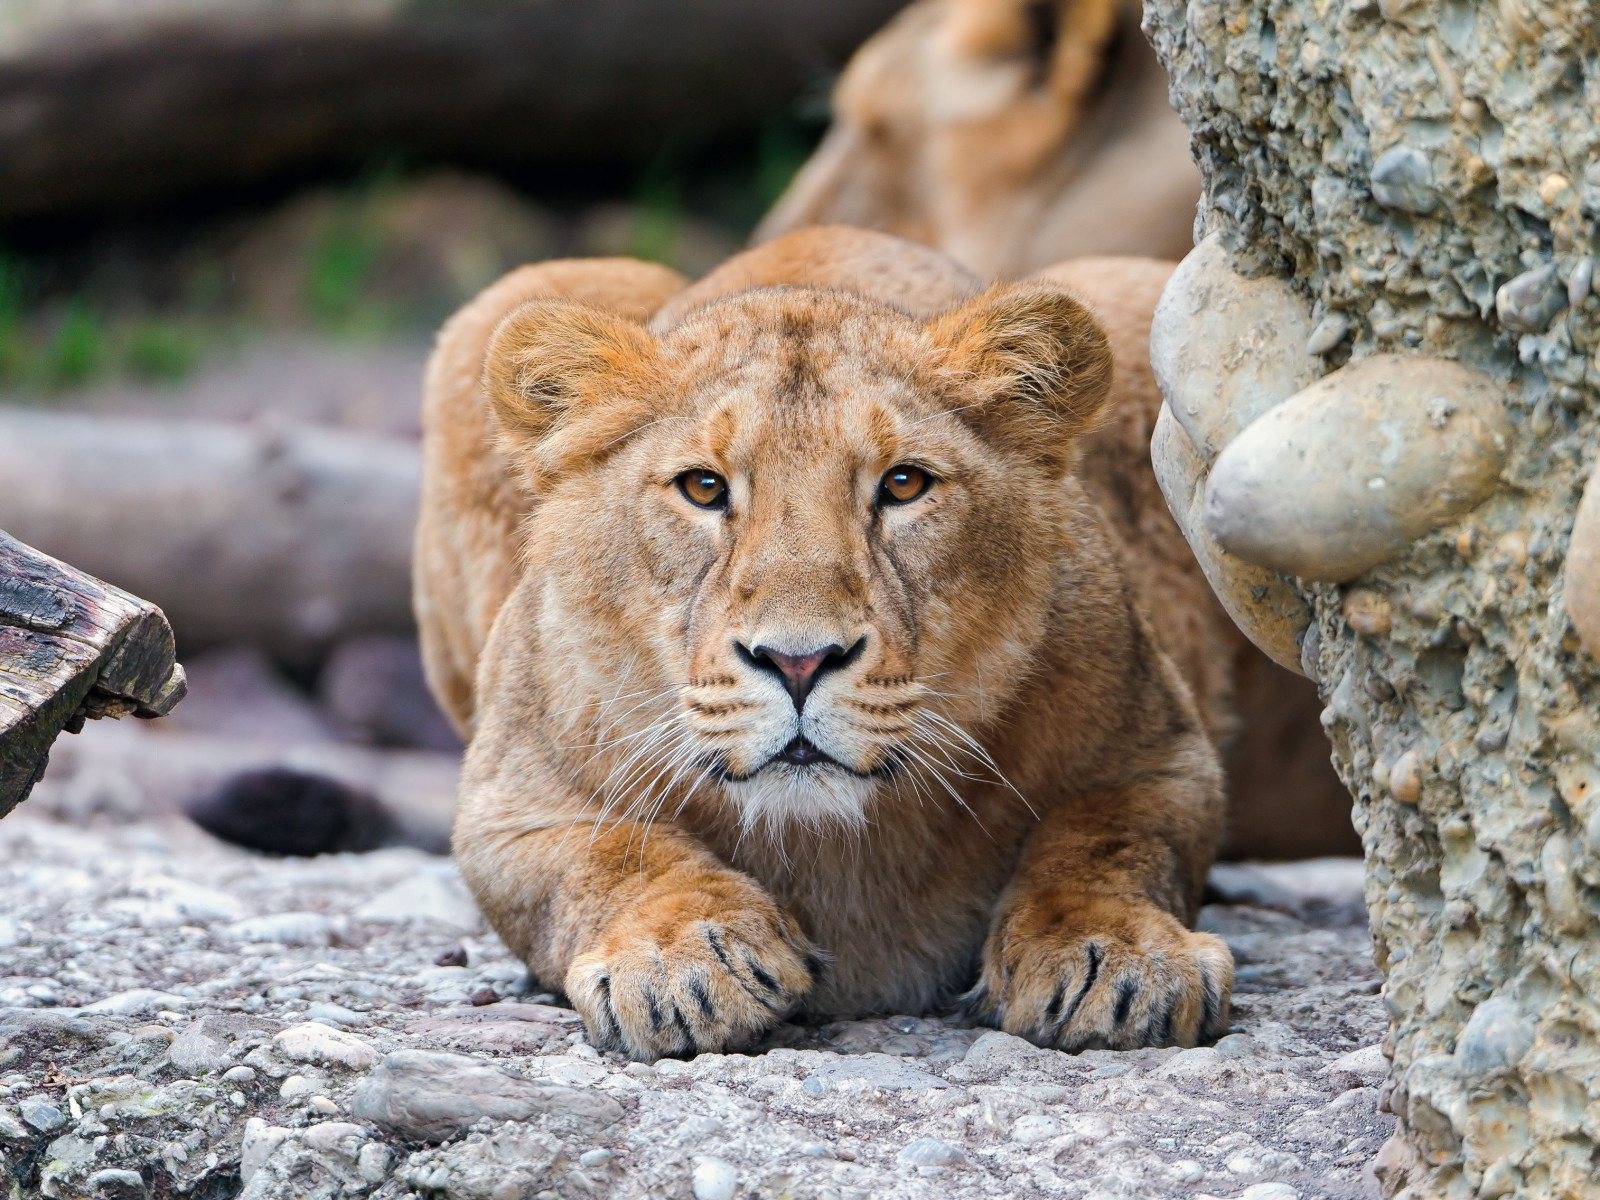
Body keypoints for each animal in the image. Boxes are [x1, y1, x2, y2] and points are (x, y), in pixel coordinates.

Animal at [416, 227, 1234, 1059]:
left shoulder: (1163, 757)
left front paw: (1115, 955)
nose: (799, 662)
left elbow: (1104, 840)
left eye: (904, 484)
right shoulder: (511, 805)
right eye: (703, 488)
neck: (830, 842)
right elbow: (618, 856)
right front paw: (683, 957)